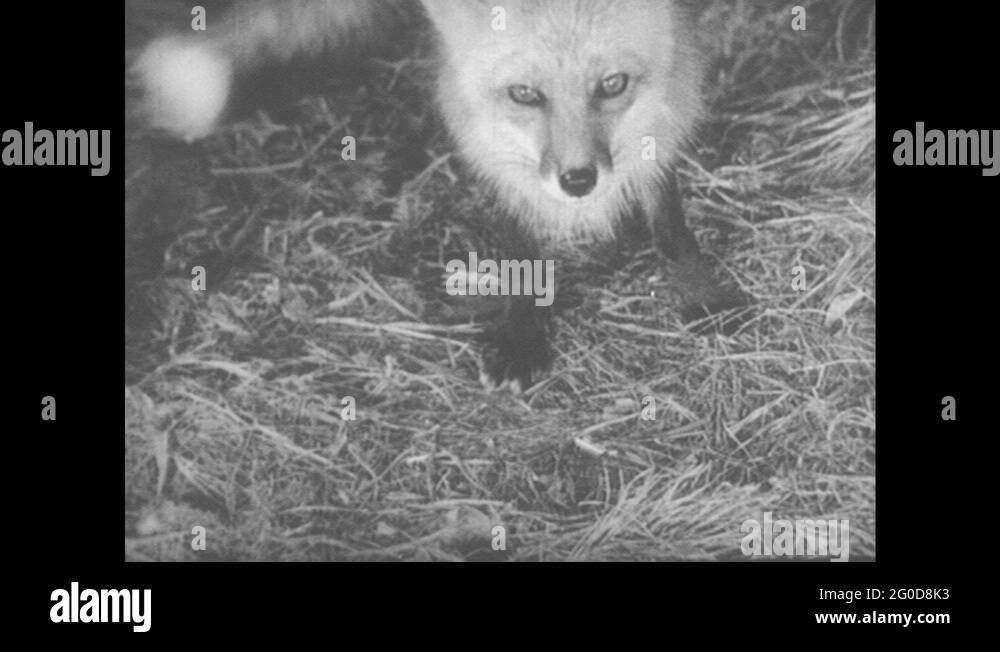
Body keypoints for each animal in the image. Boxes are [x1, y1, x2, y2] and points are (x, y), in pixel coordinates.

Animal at [134, 0, 748, 392]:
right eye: (524, 95)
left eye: (613, 85)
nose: (578, 182)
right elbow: (519, 241)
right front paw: (522, 333)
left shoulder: (672, 84)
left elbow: (668, 218)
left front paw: (698, 291)